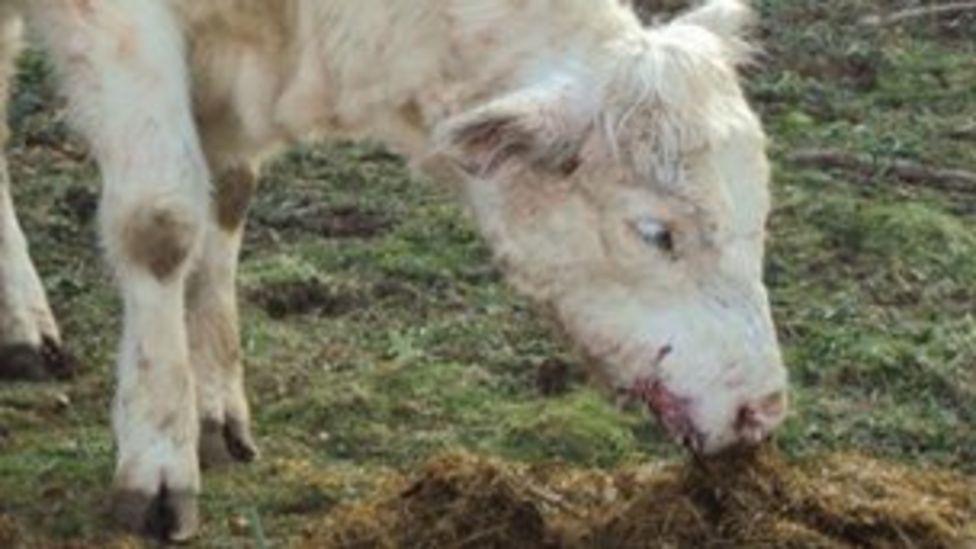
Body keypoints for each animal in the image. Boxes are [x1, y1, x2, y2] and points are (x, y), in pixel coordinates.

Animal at [0, 0, 788, 540]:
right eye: (656, 232)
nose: (763, 409)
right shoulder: (119, 27)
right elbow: (161, 225)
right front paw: (158, 465)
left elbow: (226, 197)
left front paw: (215, 411)